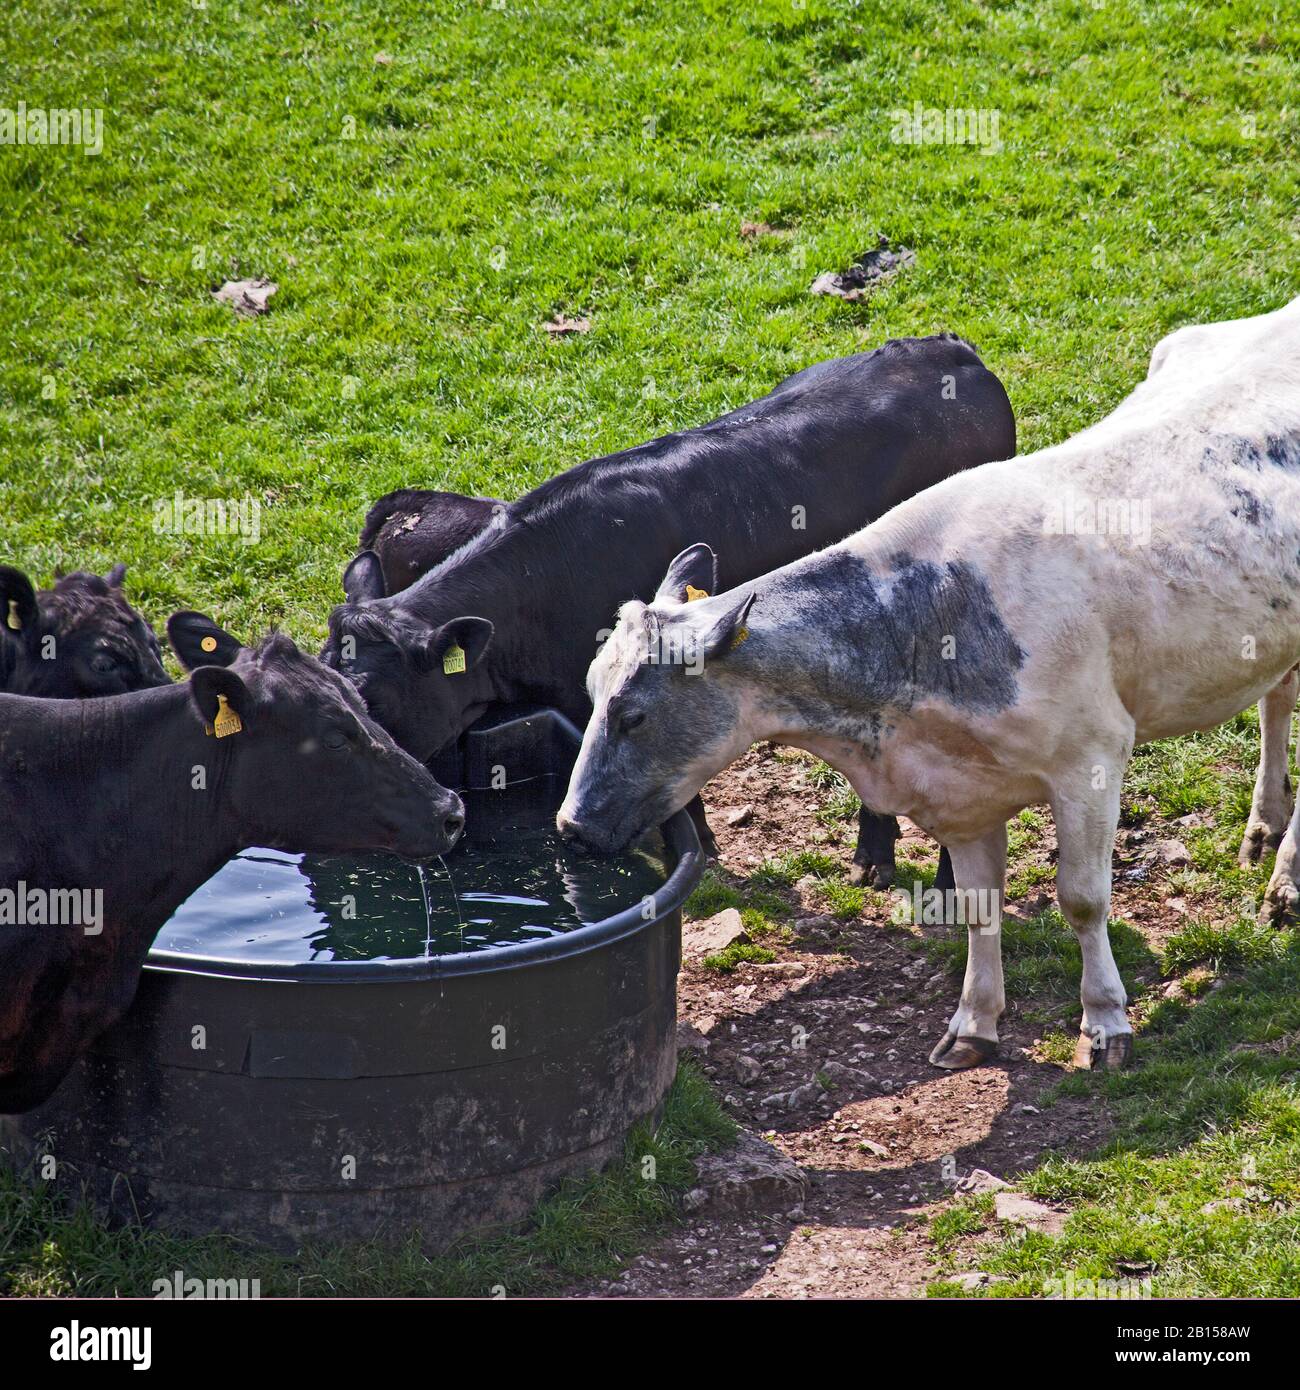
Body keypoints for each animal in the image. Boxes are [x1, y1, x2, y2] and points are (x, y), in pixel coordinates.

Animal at [557, 294, 1300, 1075]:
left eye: (634, 715)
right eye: (590, 692)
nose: (570, 827)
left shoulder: (1092, 757)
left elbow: (1083, 900)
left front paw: (1104, 1024)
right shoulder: (961, 790)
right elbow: (977, 907)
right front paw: (974, 1023)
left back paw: (1284, 880)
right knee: (1279, 697)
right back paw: (1263, 824)